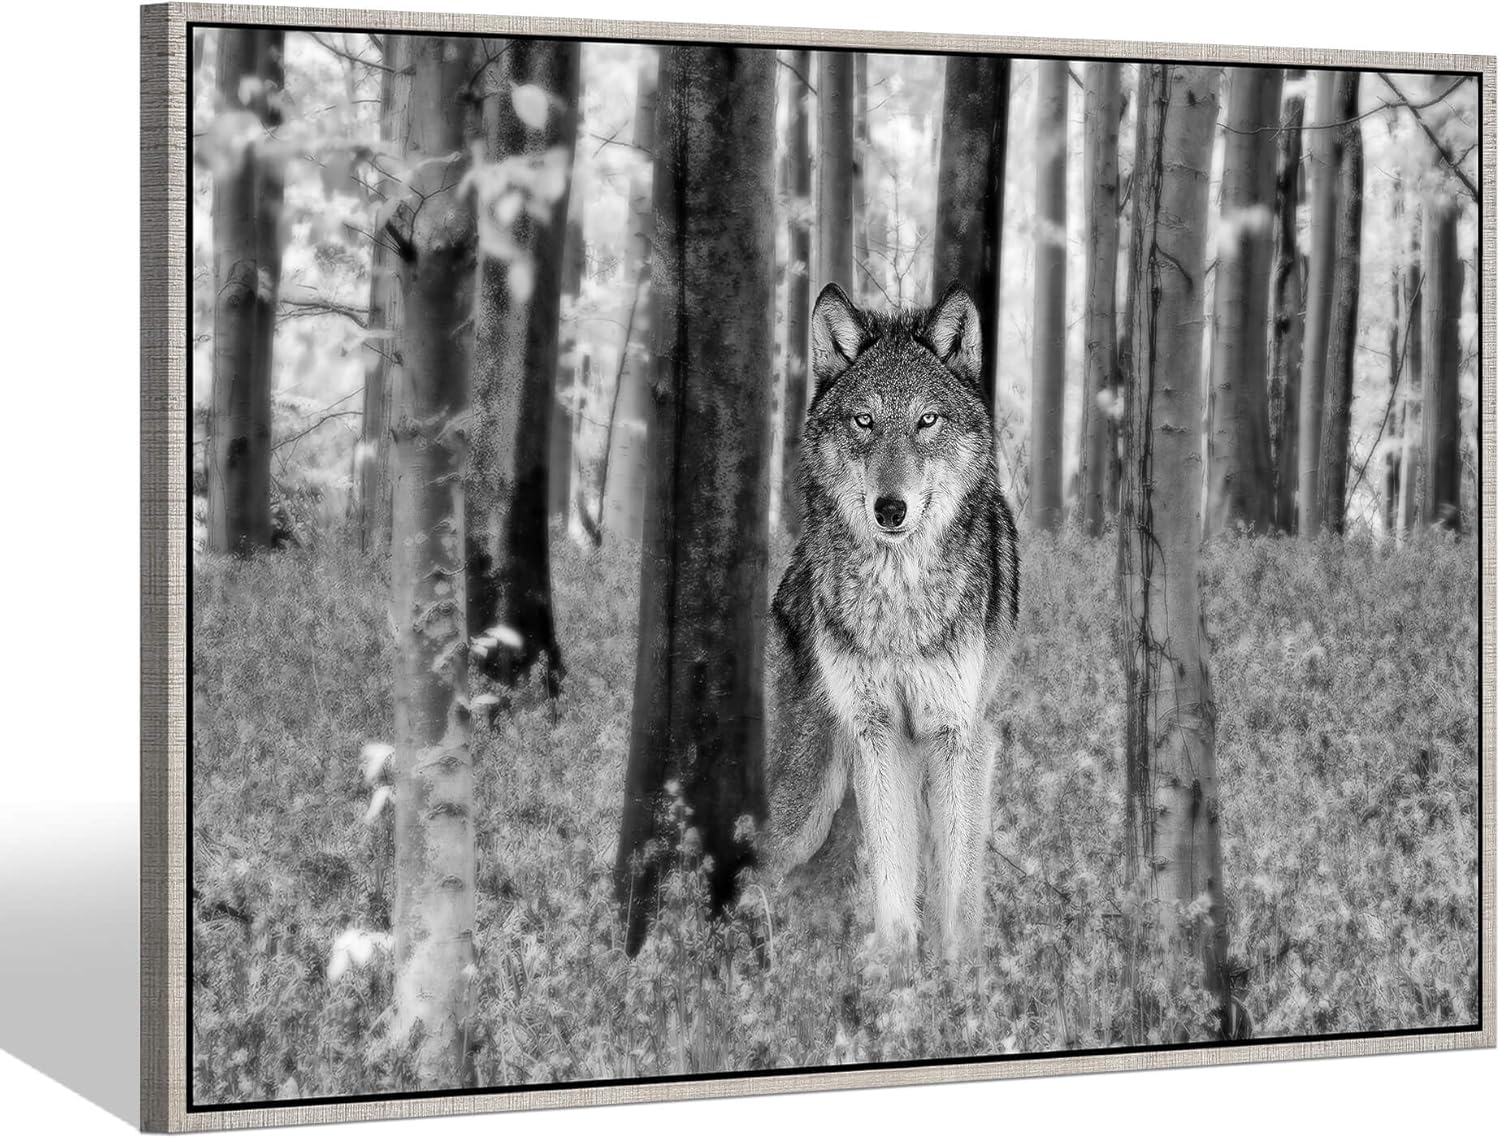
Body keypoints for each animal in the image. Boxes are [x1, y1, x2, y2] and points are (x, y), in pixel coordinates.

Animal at [766, 281, 1020, 962]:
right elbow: (891, 867)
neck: (898, 597)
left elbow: (955, 875)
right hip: (812, 789)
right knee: (762, 865)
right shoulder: (877, 733)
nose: (890, 509)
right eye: (865, 421)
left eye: (926, 421)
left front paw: (958, 970)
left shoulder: (958, 733)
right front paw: (895, 965)